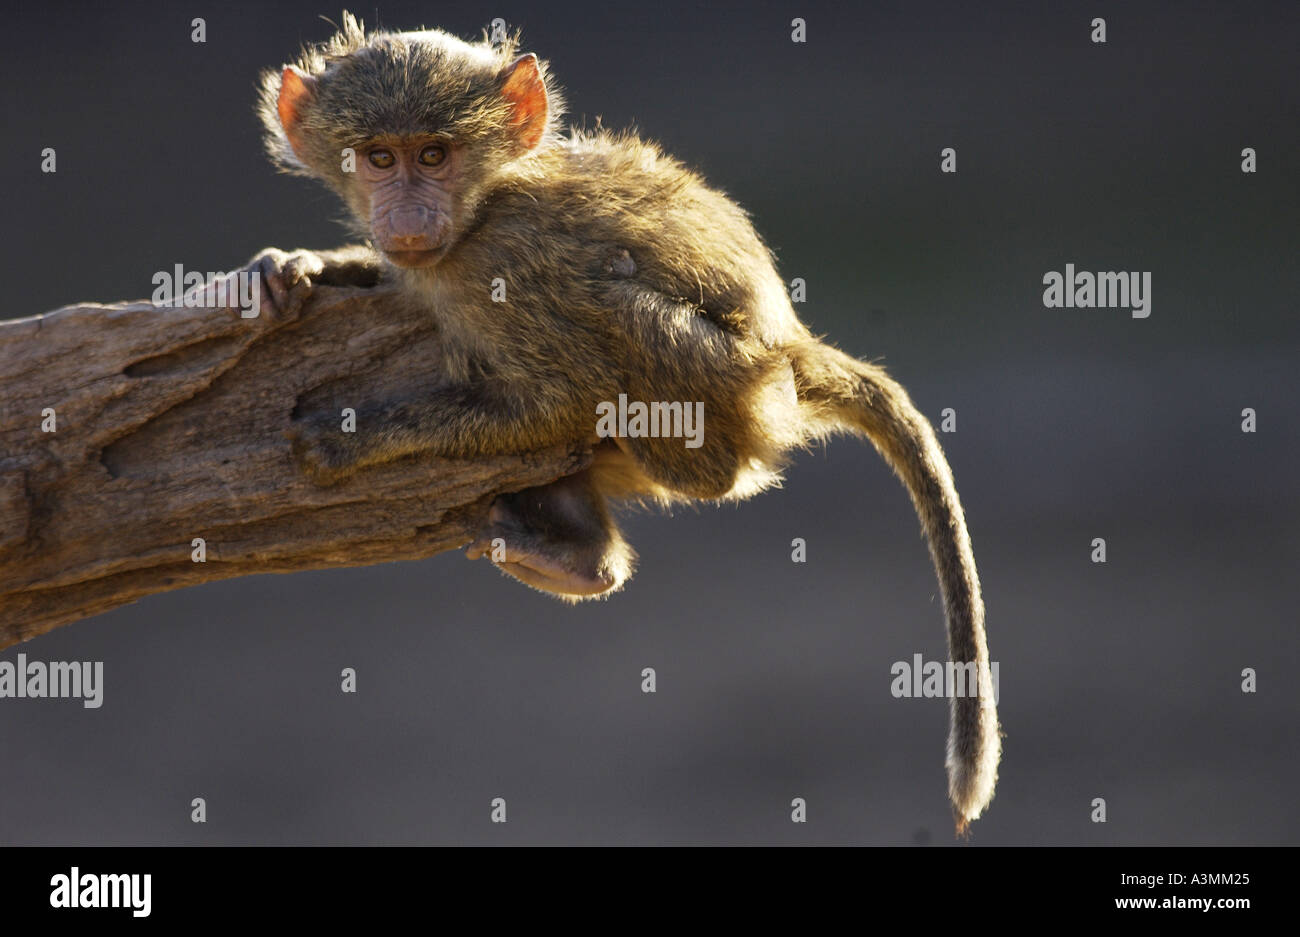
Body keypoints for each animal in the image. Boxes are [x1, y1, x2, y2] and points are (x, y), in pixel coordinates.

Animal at [249, 14, 999, 832]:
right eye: (380, 158)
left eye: (436, 155)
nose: (408, 217)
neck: (483, 206)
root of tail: (790, 350)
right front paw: (306, 267)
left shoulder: (510, 267)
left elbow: (558, 399)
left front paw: (346, 436)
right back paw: (583, 557)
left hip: (729, 389)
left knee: (621, 311)